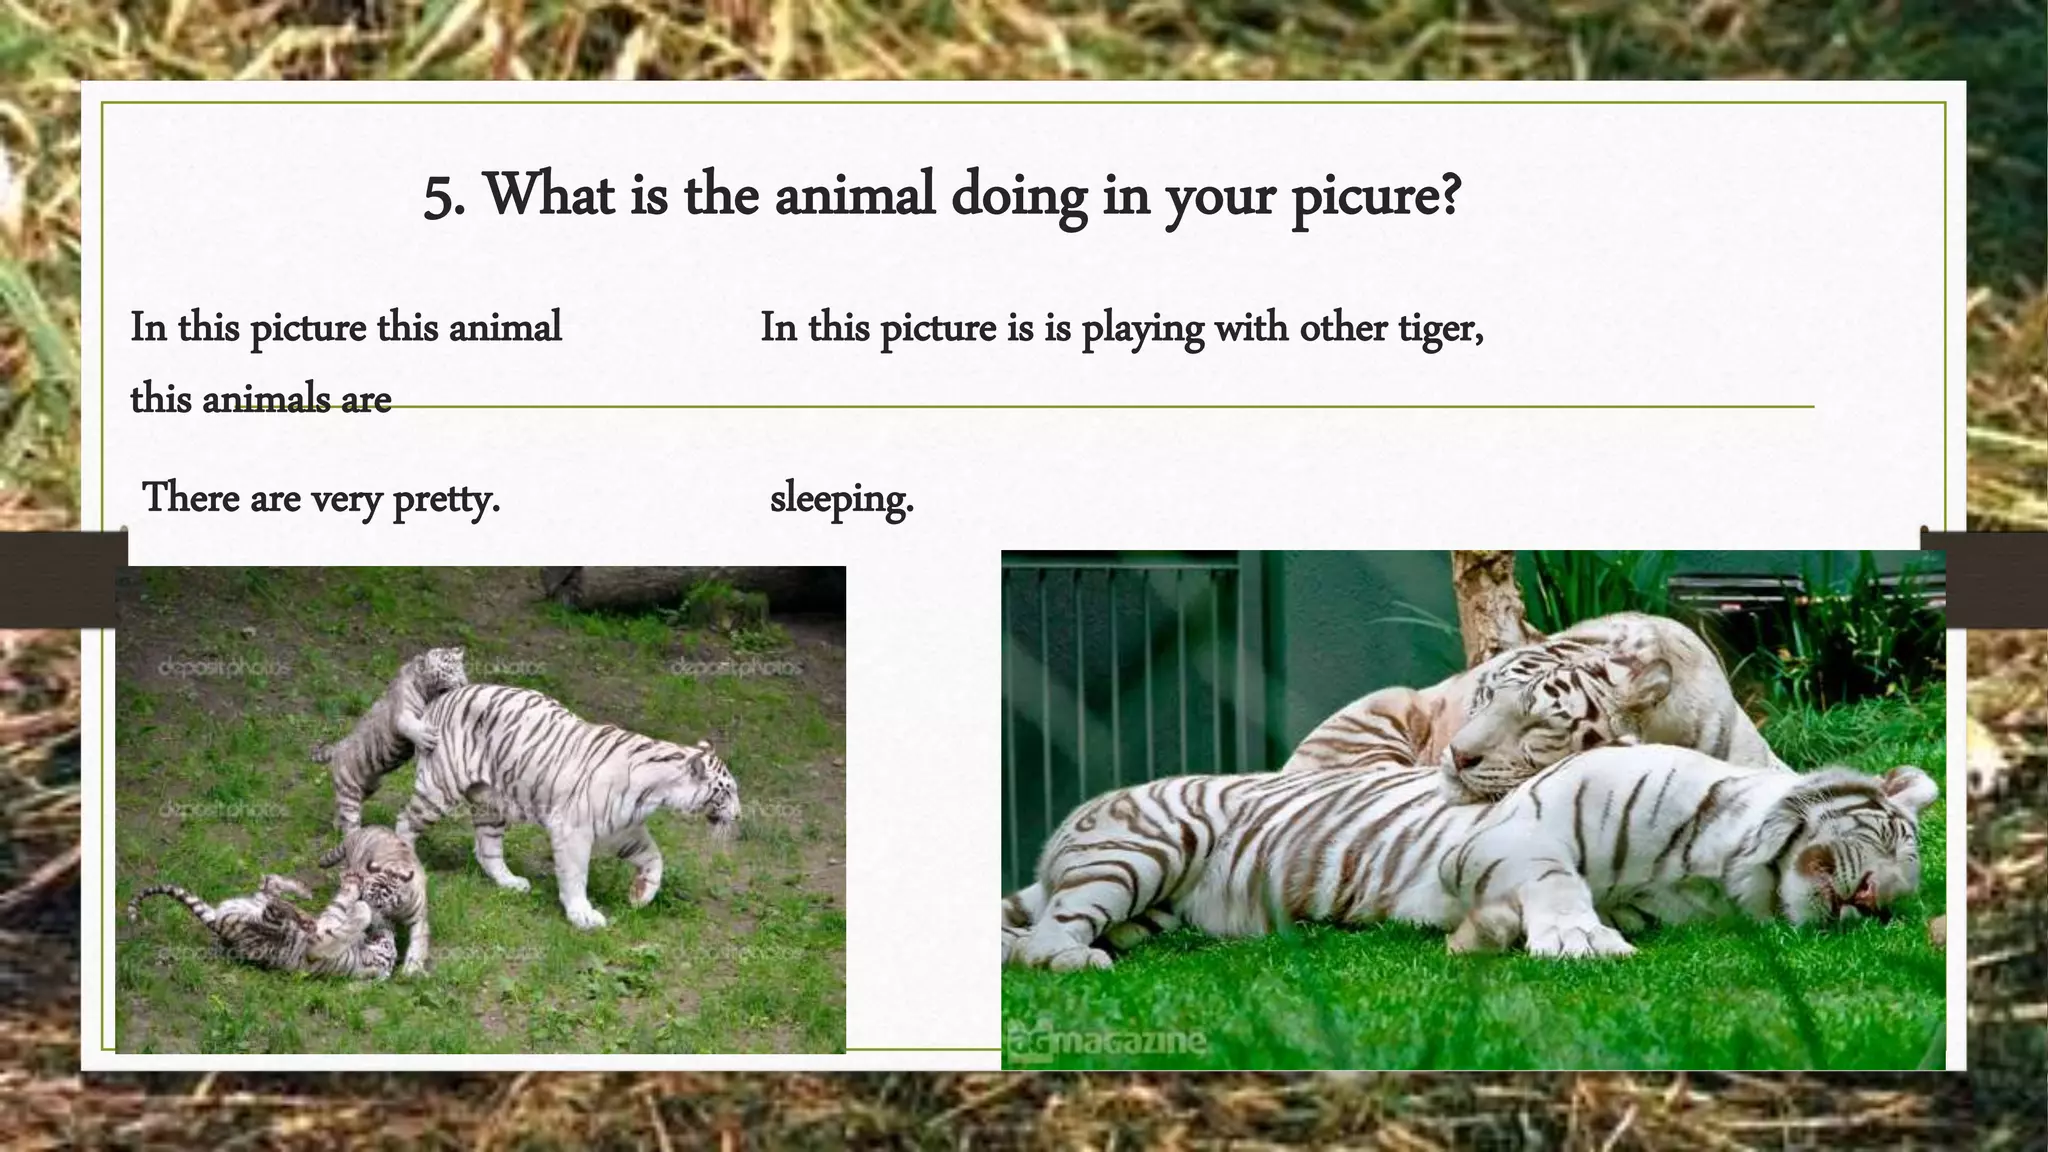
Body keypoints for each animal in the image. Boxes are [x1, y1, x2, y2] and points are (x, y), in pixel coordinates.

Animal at [127, 872, 397, 980]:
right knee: (270, 884)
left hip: (267, 924)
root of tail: (218, 923)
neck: (361, 952)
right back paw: (302, 892)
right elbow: (342, 904)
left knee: (274, 901)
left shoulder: (319, 946)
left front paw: (362, 909)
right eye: (390, 943)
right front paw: (355, 887)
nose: (388, 930)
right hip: (260, 904)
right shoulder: (331, 921)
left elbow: (347, 923)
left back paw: (303, 915)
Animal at [311, 645, 468, 834]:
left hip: (369, 787)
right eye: (449, 670)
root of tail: (336, 749)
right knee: (350, 820)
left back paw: (337, 825)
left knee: (339, 808)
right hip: (349, 790)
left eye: (461, 669)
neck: (426, 690)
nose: (464, 683)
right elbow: (411, 726)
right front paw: (425, 738)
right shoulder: (403, 714)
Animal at [317, 825, 430, 976]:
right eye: (363, 898)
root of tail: (367, 828)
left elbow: (418, 942)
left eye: (380, 906)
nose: (369, 925)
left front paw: (412, 970)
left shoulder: (418, 918)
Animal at [394, 684, 742, 930]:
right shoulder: (574, 829)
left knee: (486, 849)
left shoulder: (624, 830)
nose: (739, 816)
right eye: (727, 792)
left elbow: (655, 858)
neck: (657, 792)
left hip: (492, 803)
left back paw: (511, 883)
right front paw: (582, 915)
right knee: (404, 822)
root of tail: (441, 699)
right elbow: (576, 874)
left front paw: (641, 895)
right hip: (439, 791)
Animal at [1440, 745, 1938, 958]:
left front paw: (1481, 932)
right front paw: (1576, 939)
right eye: (1888, 838)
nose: (1871, 898)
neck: (1721, 864)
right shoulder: (1505, 832)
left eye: (1888, 911)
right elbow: (1552, 876)